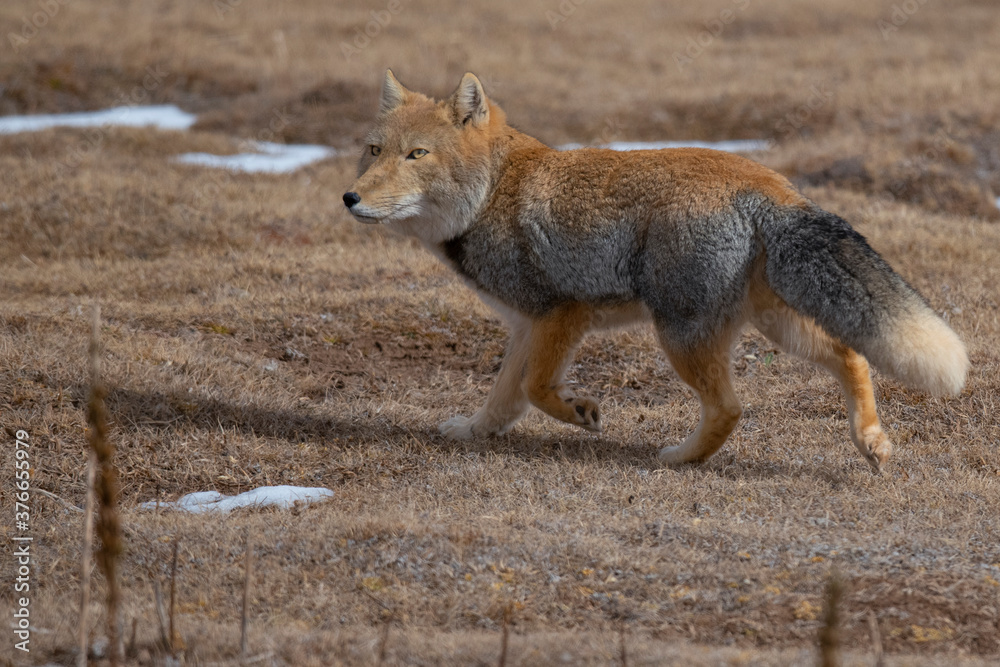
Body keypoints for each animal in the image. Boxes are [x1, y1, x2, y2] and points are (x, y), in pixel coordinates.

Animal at [343, 70, 969, 471]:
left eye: (416, 155)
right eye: (373, 151)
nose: (349, 198)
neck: (494, 190)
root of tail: (770, 184)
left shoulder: (562, 312)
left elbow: (535, 388)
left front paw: (579, 412)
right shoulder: (527, 325)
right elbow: (504, 397)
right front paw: (475, 433)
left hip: (681, 335)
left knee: (730, 408)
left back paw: (679, 459)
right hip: (775, 326)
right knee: (851, 356)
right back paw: (871, 442)